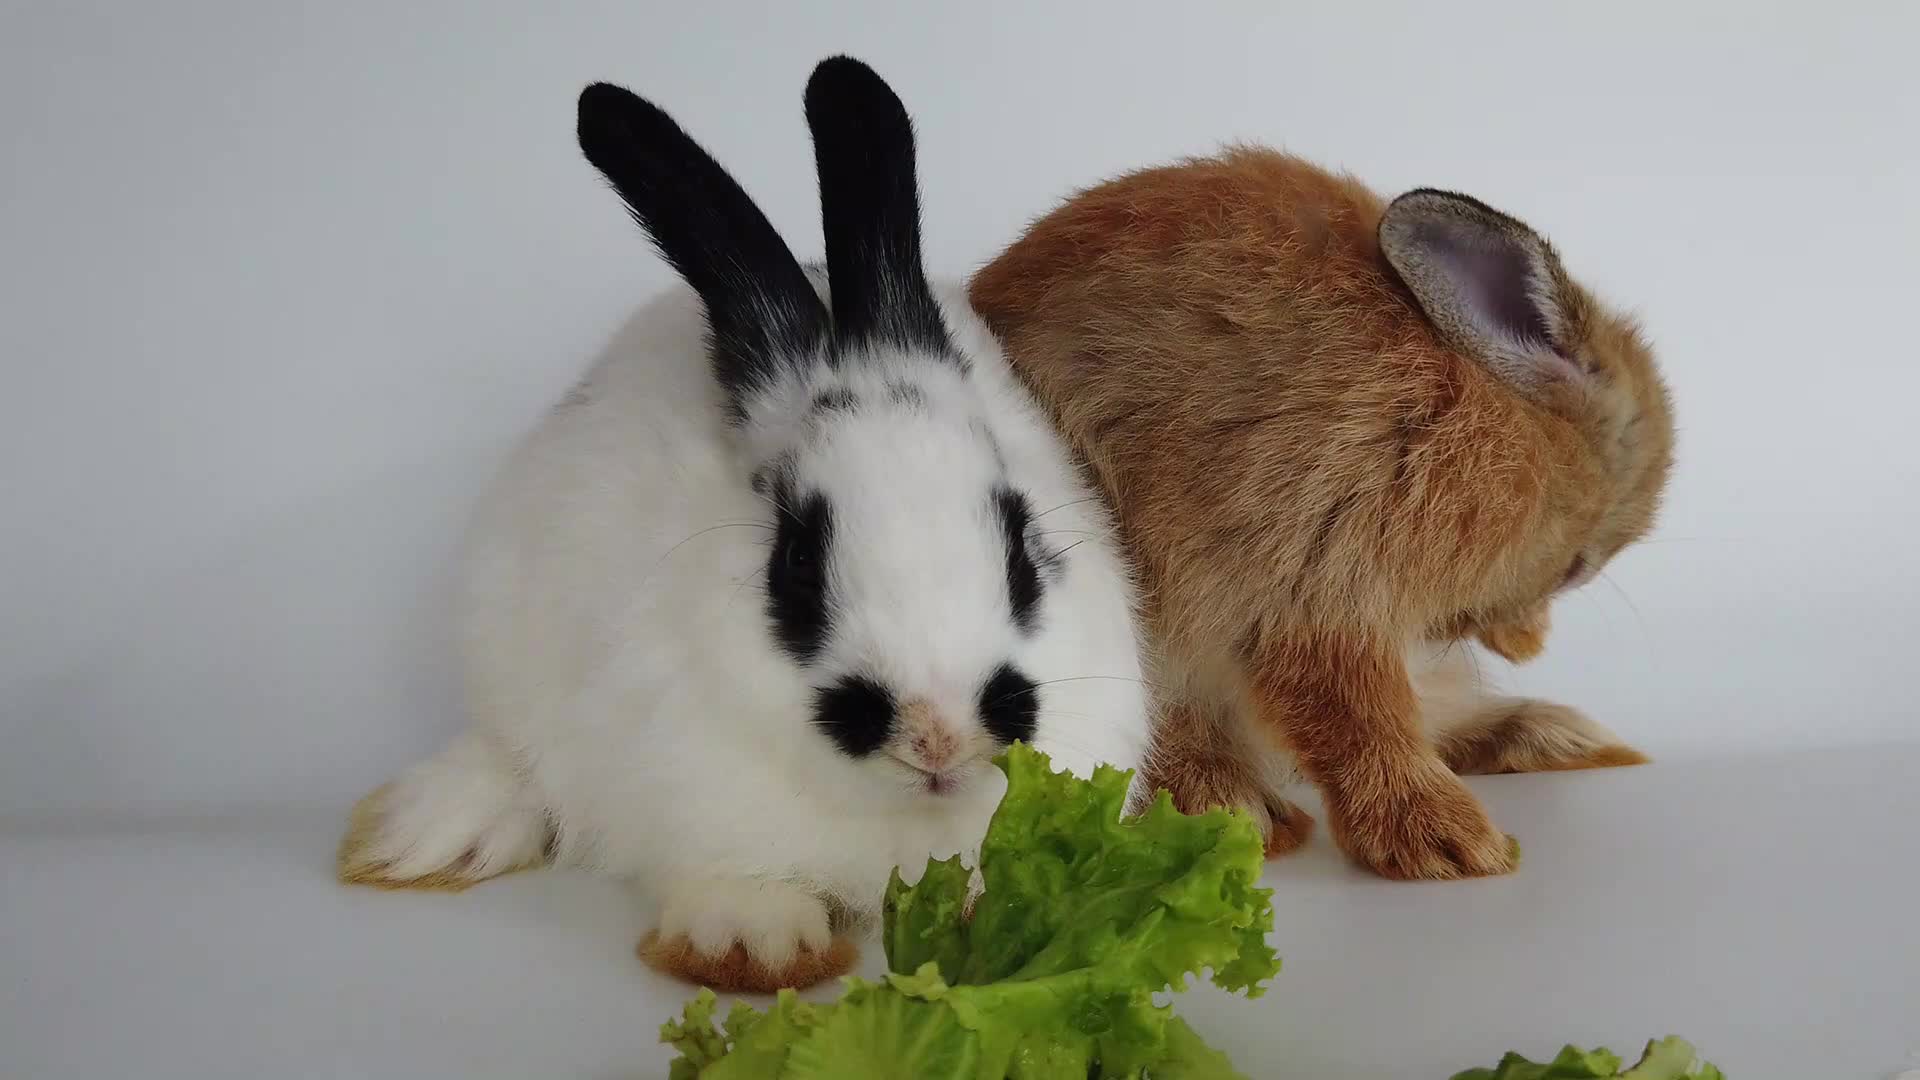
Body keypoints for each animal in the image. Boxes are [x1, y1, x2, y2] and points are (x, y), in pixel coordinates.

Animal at [336, 56, 1150, 992]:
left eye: (1021, 546)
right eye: (795, 562)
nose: (940, 735)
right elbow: (738, 879)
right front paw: (752, 946)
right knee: (518, 764)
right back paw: (413, 834)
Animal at [969, 147, 1672, 881]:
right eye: (1574, 569)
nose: (1524, 639)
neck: (1498, 414)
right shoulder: (1316, 571)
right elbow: (1357, 719)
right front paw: (1451, 844)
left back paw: (1562, 735)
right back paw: (1237, 811)